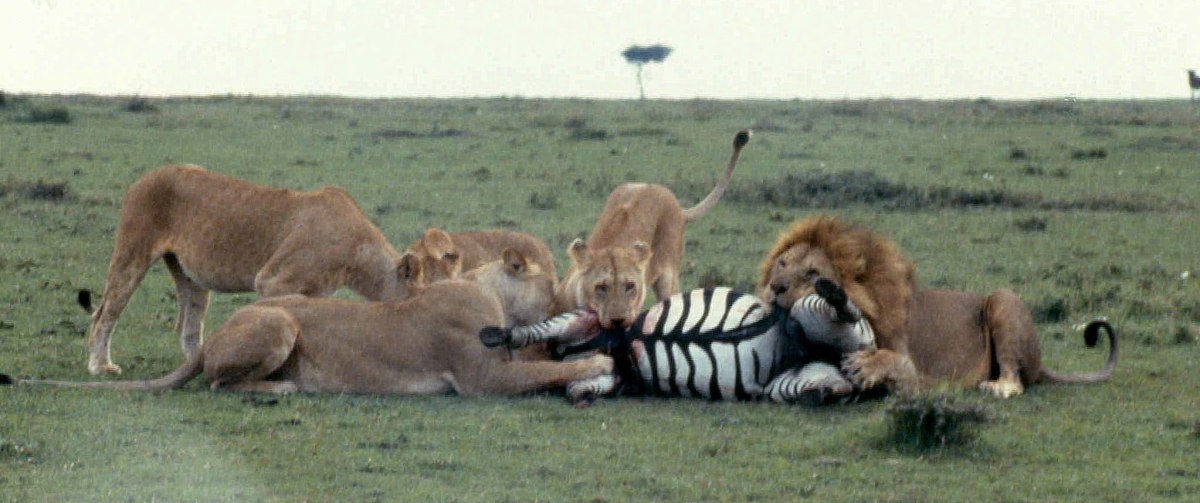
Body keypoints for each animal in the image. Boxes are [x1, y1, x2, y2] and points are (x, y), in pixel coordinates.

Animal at [479, 280, 875, 406]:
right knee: (835, 385)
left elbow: (537, 330)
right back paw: (822, 393)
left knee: (843, 310)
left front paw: (497, 335)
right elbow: (582, 386)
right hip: (790, 381)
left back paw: (833, 292)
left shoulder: (587, 320)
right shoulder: (612, 372)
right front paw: (583, 396)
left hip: (810, 313)